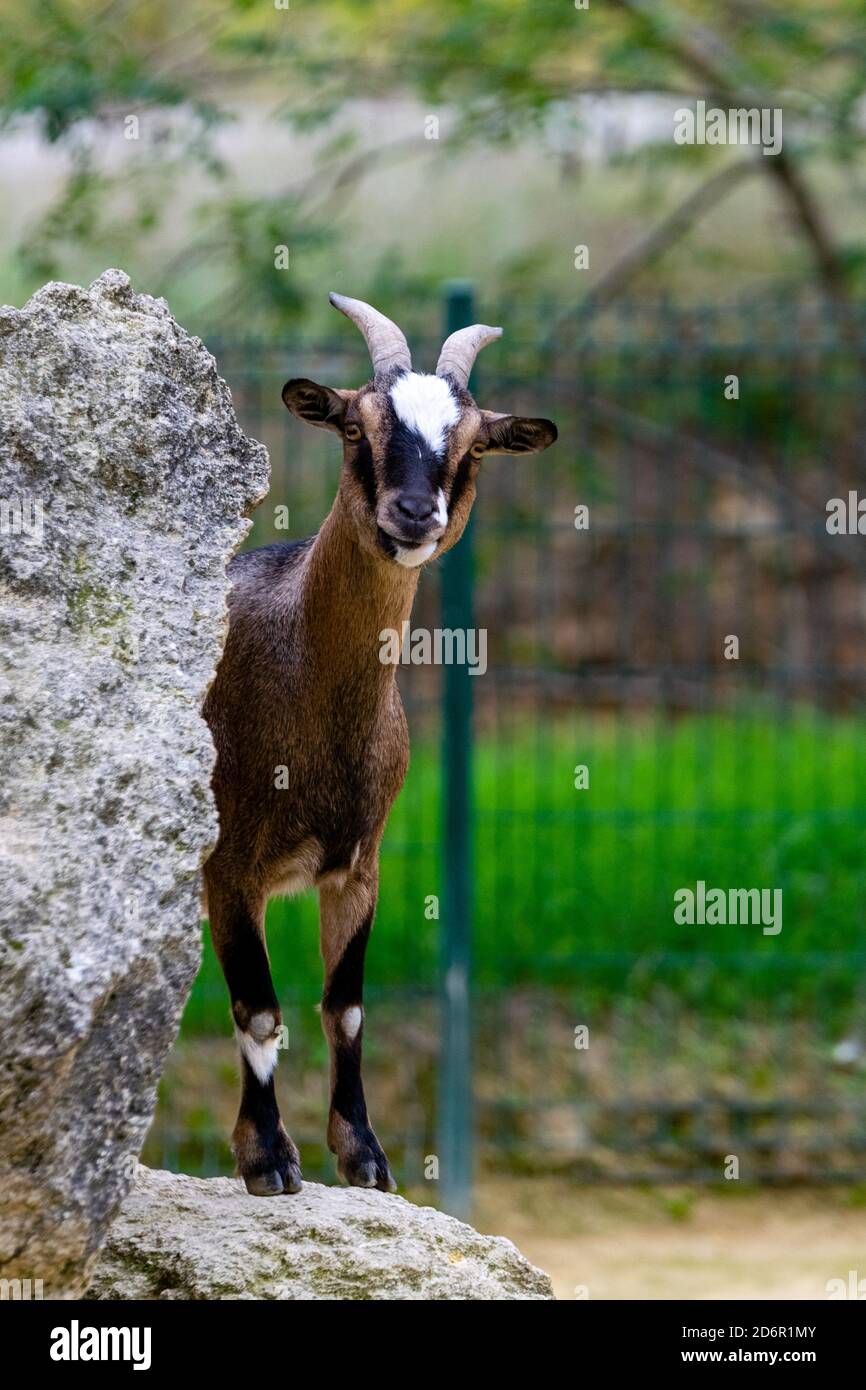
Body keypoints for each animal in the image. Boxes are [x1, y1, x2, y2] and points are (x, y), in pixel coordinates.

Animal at [203, 294, 557, 1195]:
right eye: (355, 426)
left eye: (475, 446)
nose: (413, 514)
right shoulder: (229, 867)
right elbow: (258, 1008)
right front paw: (268, 1159)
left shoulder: (358, 865)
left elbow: (347, 1007)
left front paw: (363, 1155)